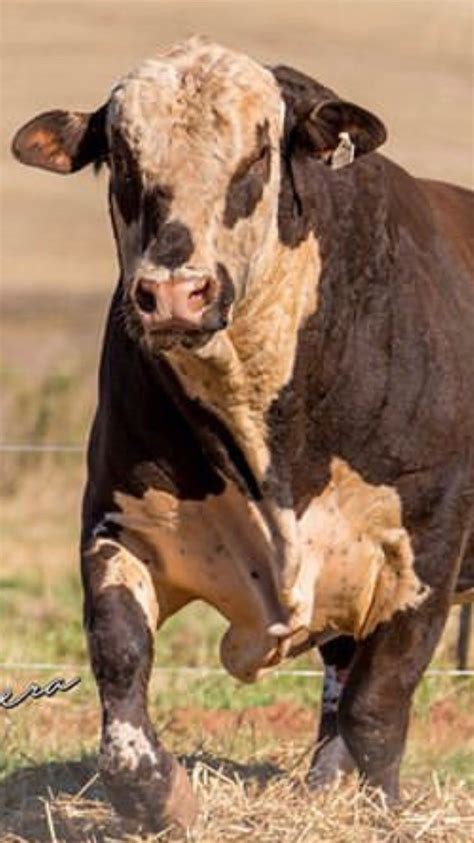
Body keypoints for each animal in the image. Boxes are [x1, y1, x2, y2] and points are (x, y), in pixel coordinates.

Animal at [12, 36, 474, 832]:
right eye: (122, 157)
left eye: (258, 154)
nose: (173, 293)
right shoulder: (118, 517)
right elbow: (120, 663)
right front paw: (164, 798)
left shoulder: (429, 545)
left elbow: (380, 706)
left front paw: (383, 813)